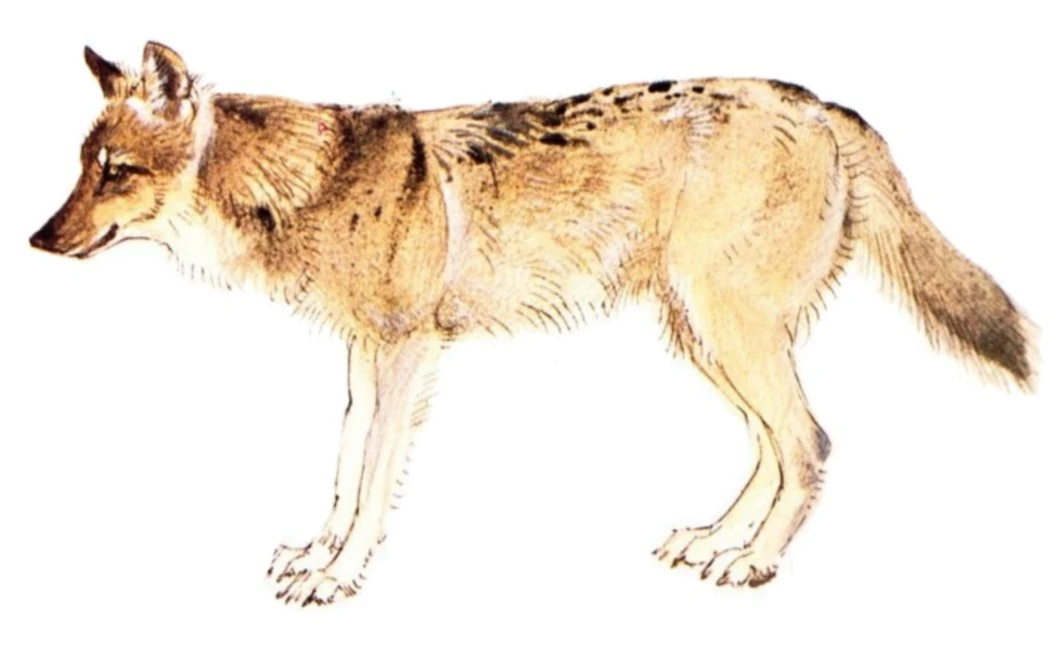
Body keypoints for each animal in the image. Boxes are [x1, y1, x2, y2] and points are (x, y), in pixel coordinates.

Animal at [30, 42, 1037, 606]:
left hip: (727, 333)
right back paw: (715, 543)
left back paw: (751, 566)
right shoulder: (363, 359)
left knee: (811, 442)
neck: (305, 186)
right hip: (703, 337)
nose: (37, 240)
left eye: (114, 170)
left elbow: (372, 484)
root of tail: (824, 106)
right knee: (775, 446)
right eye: (83, 165)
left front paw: (339, 578)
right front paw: (315, 555)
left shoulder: (405, 353)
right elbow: (344, 470)